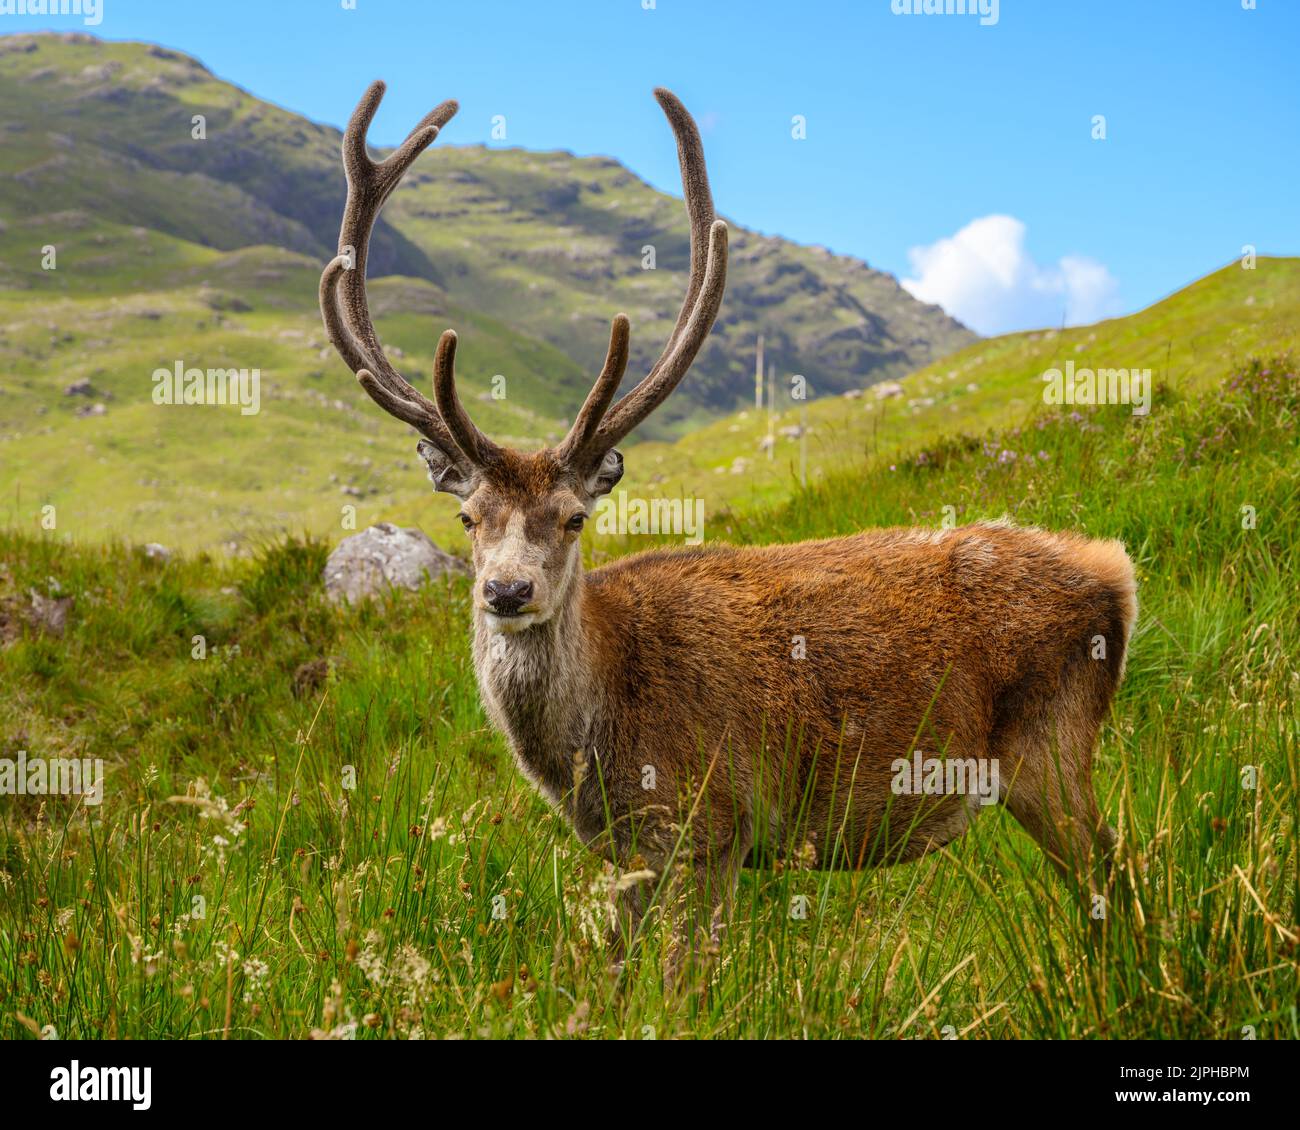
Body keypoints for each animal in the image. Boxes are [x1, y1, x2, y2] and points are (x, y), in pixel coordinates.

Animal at [319, 82, 1137, 971]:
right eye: (467, 516)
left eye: (574, 517)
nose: (507, 590)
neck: (596, 744)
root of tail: (1117, 574)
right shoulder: (634, 855)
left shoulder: (710, 821)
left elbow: (688, 980)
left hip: (1050, 750)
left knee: (1120, 879)